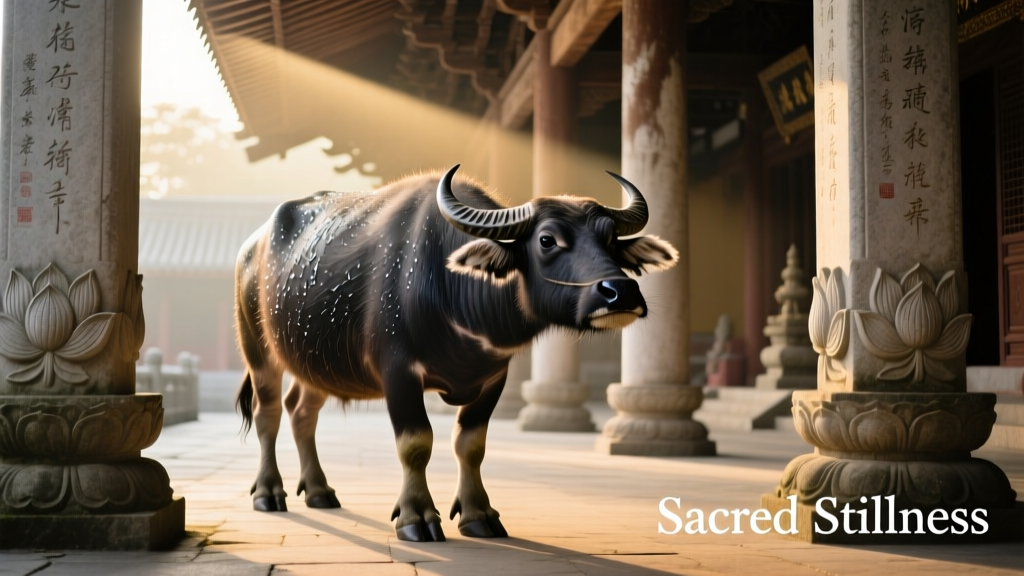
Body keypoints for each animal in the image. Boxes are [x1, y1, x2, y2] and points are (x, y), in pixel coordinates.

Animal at [234, 165, 678, 542]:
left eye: (611, 241)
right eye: (547, 240)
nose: (621, 291)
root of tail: (251, 247)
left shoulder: (494, 377)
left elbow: (471, 445)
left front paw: (478, 514)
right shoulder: (399, 372)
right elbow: (415, 443)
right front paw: (416, 518)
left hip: (316, 363)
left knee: (301, 412)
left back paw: (319, 491)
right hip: (258, 351)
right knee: (268, 413)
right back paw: (269, 493)